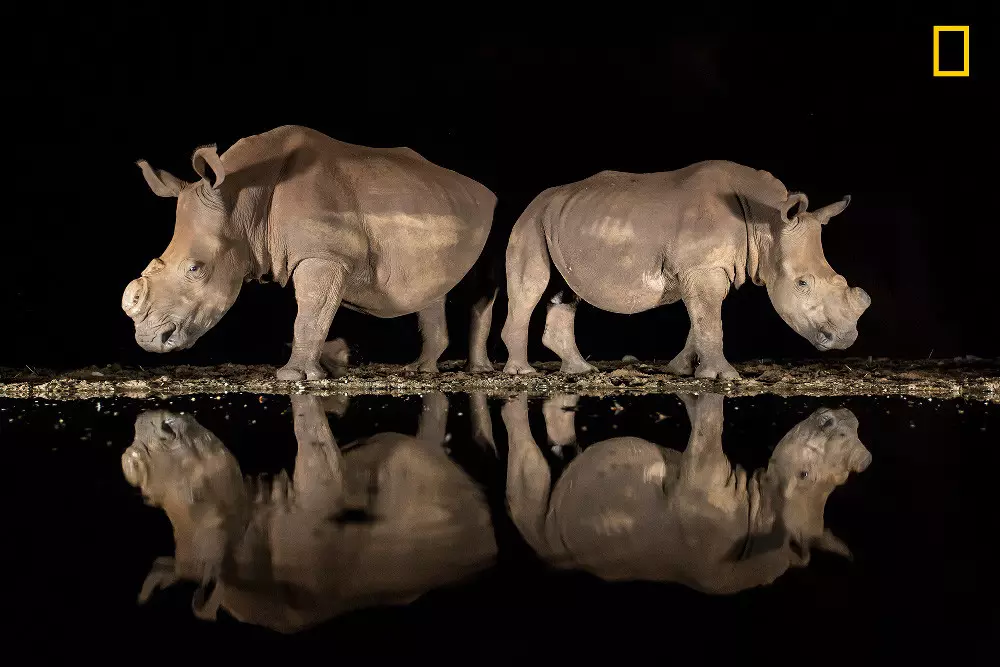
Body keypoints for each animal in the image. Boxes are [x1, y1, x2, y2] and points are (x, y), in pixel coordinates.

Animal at [123, 123, 498, 378]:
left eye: (195, 268)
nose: (148, 340)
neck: (242, 197)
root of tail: (481, 188)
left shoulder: (324, 254)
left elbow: (311, 310)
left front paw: (294, 376)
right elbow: (314, 311)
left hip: (493, 214)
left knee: (481, 287)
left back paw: (479, 372)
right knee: (433, 287)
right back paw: (420, 369)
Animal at [498, 160, 868, 378]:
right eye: (803, 283)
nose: (846, 339)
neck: (768, 219)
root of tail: (536, 202)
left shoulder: (705, 268)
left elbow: (702, 320)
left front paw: (681, 370)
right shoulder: (702, 267)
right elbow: (710, 320)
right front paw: (724, 377)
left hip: (559, 222)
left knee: (565, 290)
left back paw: (580, 371)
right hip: (530, 222)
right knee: (532, 286)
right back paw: (522, 374)